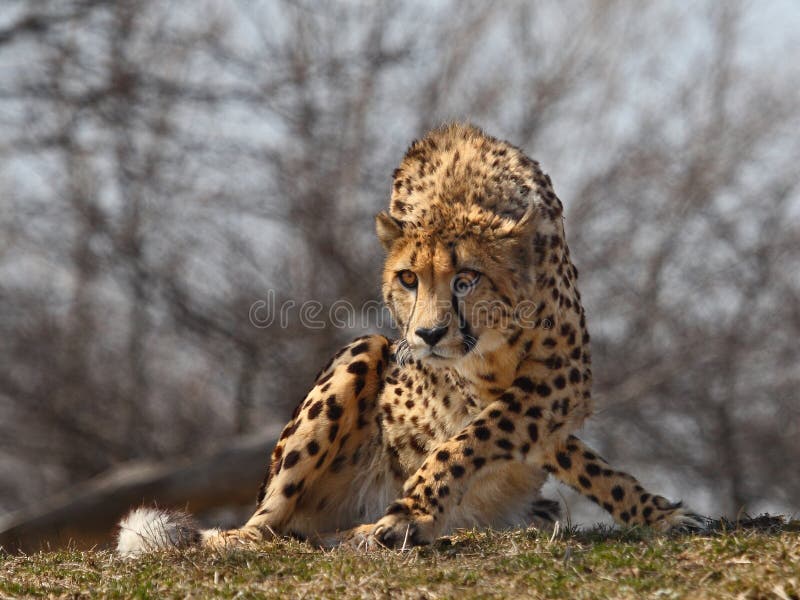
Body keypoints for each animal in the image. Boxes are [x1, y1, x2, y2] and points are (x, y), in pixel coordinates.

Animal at [117, 123, 700, 556]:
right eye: (408, 279)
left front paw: (657, 514)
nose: (429, 333)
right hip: (363, 352)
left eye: (466, 279)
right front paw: (415, 510)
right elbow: (467, 440)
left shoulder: (562, 376)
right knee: (267, 529)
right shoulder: (480, 388)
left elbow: (554, 452)